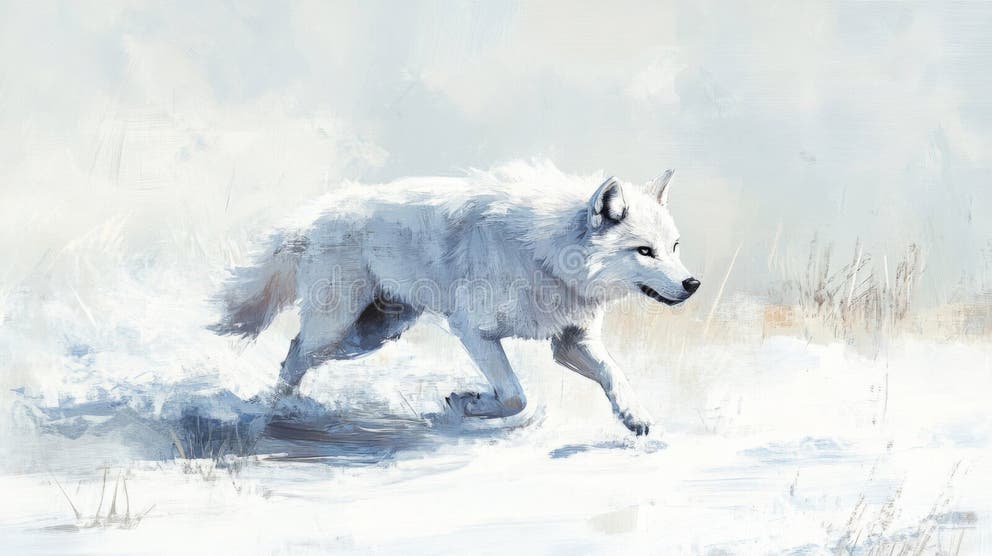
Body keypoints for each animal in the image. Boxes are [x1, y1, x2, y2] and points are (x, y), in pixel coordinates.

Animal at [211, 162, 700, 435]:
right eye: (644, 251)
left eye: (674, 247)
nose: (692, 284)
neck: (550, 252)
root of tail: (313, 217)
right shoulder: (474, 331)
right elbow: (515, 396)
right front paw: (467, 402)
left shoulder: (570, 341)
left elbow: (615, 375)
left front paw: (635, 416)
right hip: (336, 328)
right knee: (296, 353)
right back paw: (270, 411)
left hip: (369, 336)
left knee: (295, 352)